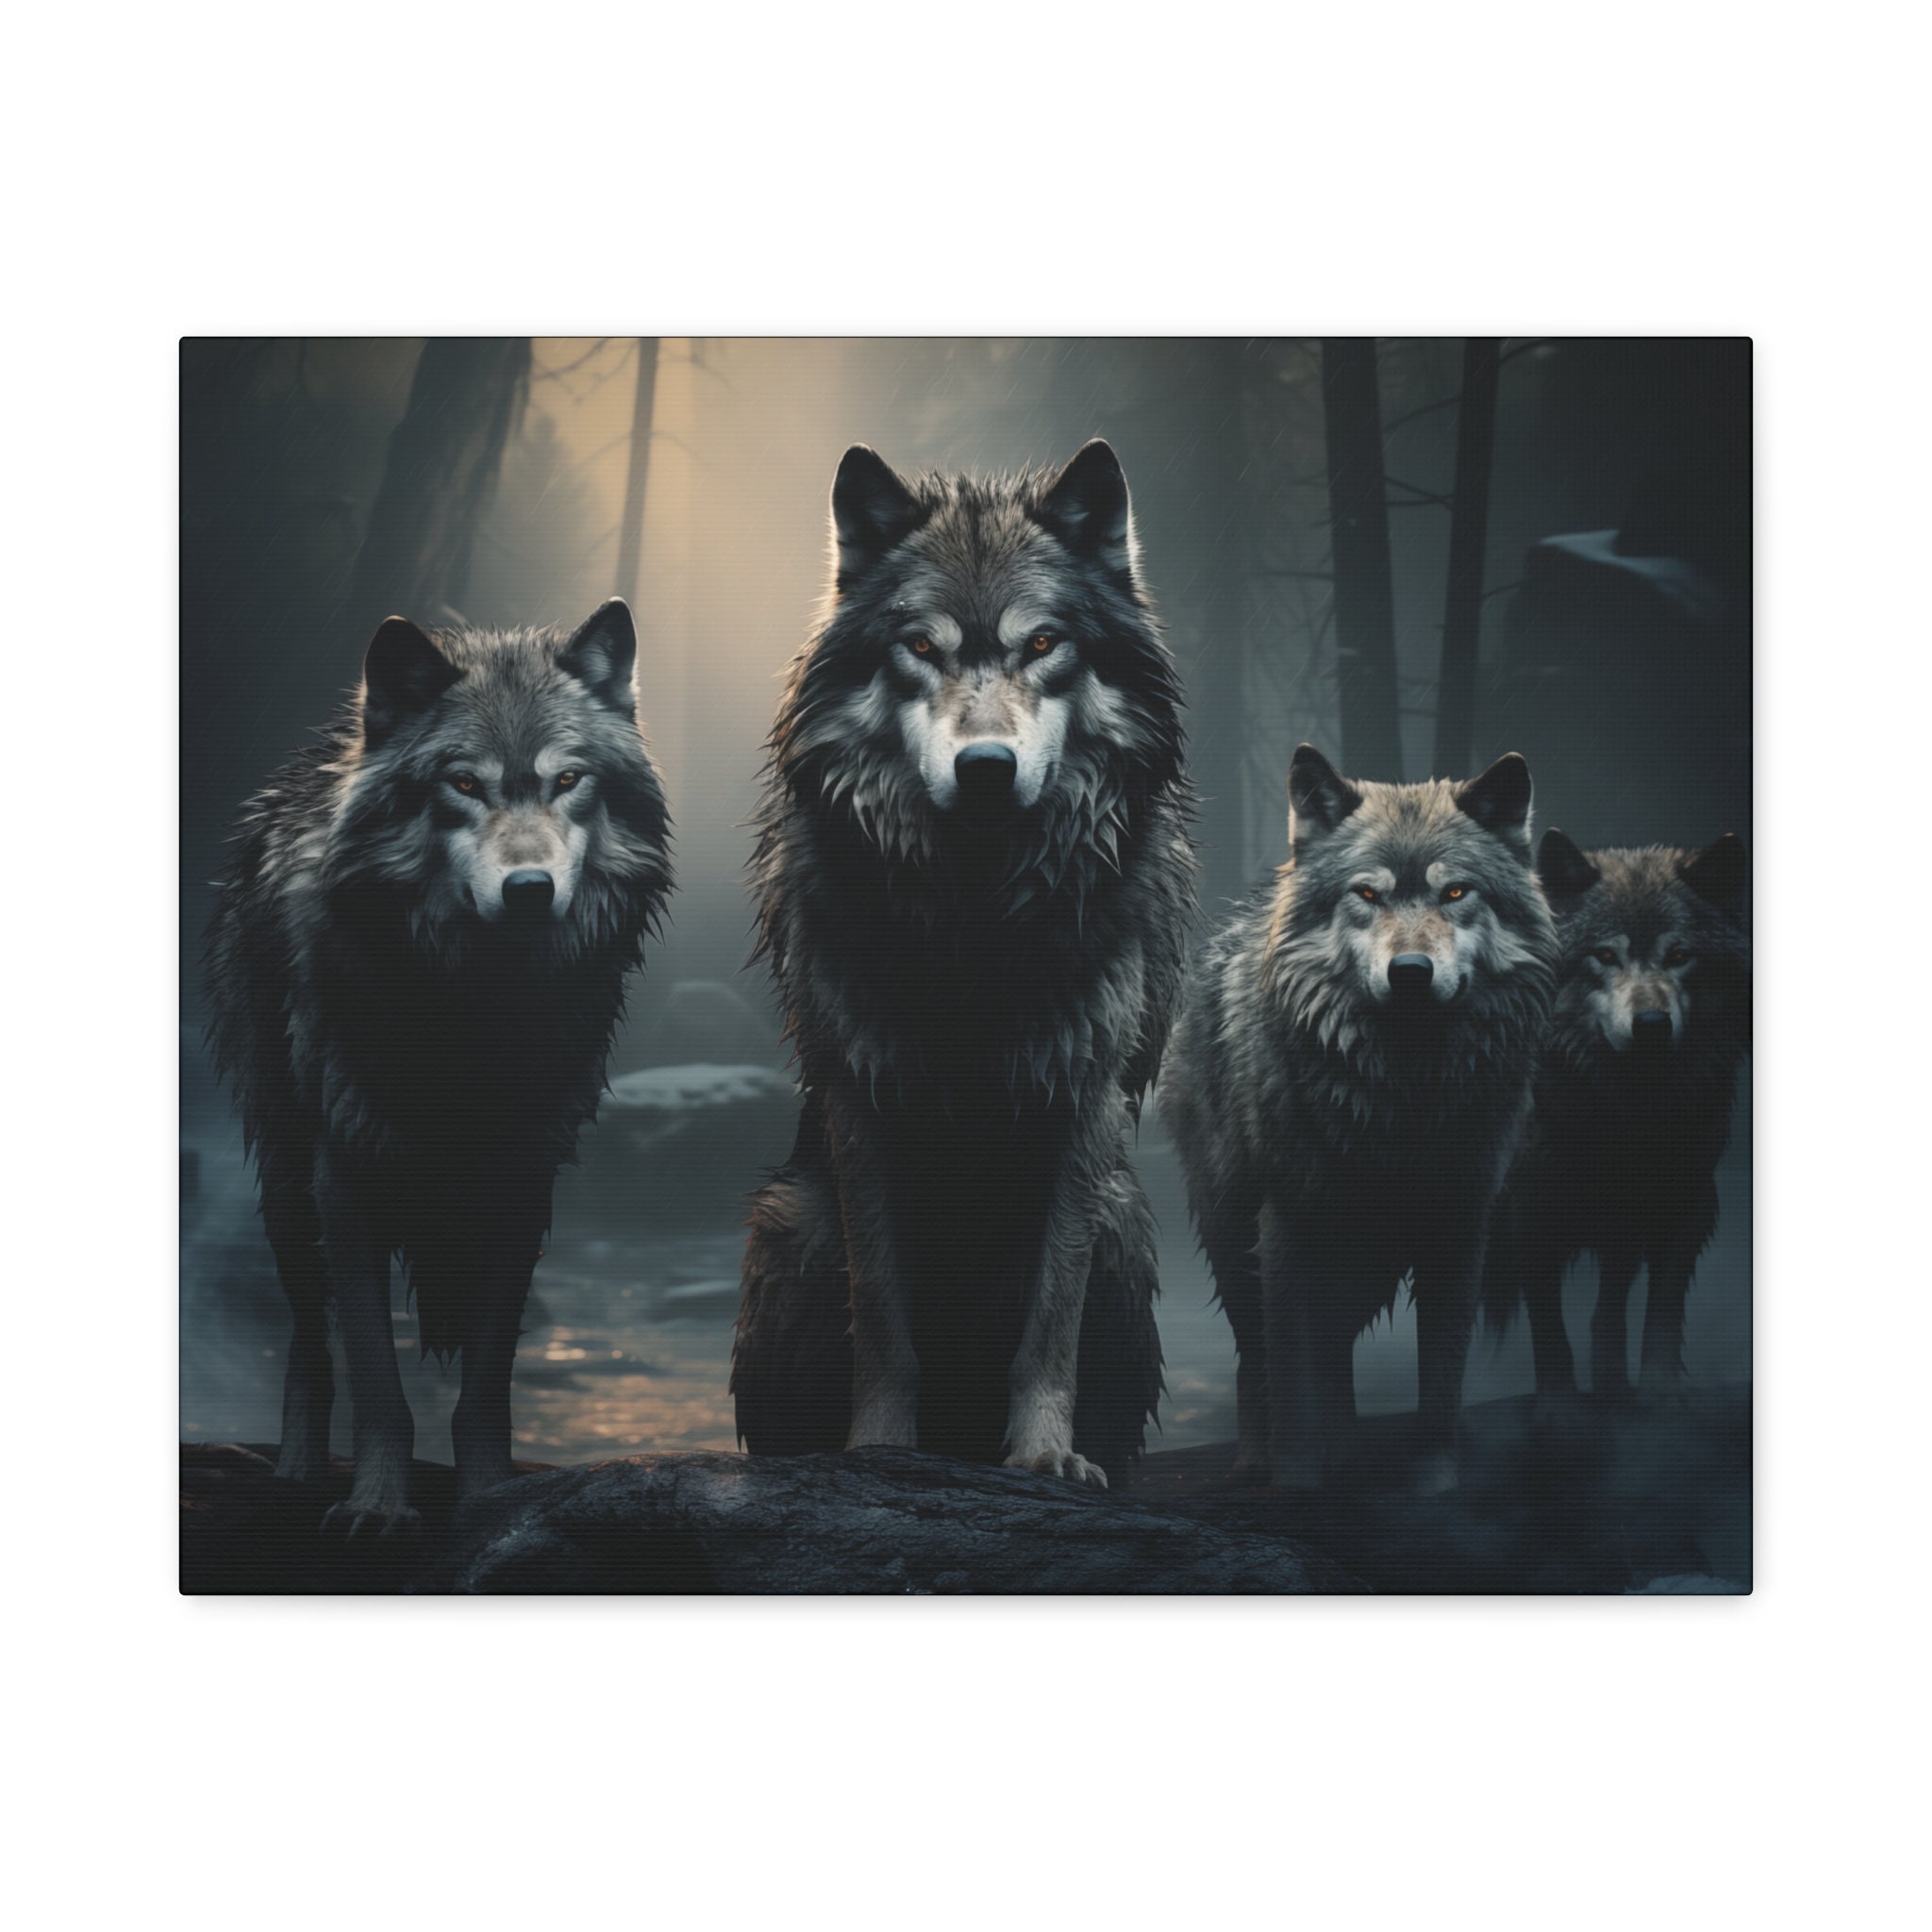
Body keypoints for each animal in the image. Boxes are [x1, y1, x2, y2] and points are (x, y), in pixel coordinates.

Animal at [204, 600, 672, 1534]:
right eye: (464, 784)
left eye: (568, 781)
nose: (529, 889)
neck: (473, 1016)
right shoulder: (342, 1176)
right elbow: (377, 1377)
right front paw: (378, 1504)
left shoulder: (525, 1180)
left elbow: (486, 1383)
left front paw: (490, 1497)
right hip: (285, 1184)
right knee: (307, 1340)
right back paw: (298, 1470)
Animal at [729, 440, 1196, 1486]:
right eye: (922, 648)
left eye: (1042, 644)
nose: (985, 766)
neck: (975, 932)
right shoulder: (858, 1097)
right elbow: (883, 1318)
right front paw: (877, 1447)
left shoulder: (1084, 1102)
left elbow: (1050, 1319)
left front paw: (1044, 1454)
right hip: (788, 1221)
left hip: (1125, 1219)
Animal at [1162, 744, 1557, 1493]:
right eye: (1367, 895)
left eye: (1455, 894)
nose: (1411, 971)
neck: (1404, 1102)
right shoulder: (1285, 1221)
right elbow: (1289, 1369)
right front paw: (1295, 1480)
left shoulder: (1461, 1224)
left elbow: (1440, 1378)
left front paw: (1433, 1483)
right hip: (1236, 1236)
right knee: (1255, 1355)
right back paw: (1255, 1460)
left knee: (1335, 1350)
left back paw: (1345, 1447)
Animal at [1482, 832, 1750, 1404]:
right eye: (1604, 956)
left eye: (1679, 956)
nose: (1650, 1024)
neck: (1626, 1115)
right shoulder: (1531, 1210)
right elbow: (1549, 1324)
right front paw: (1559, 1407)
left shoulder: (1685, 1203)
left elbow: (1656, 1310)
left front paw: (1655, 1392)